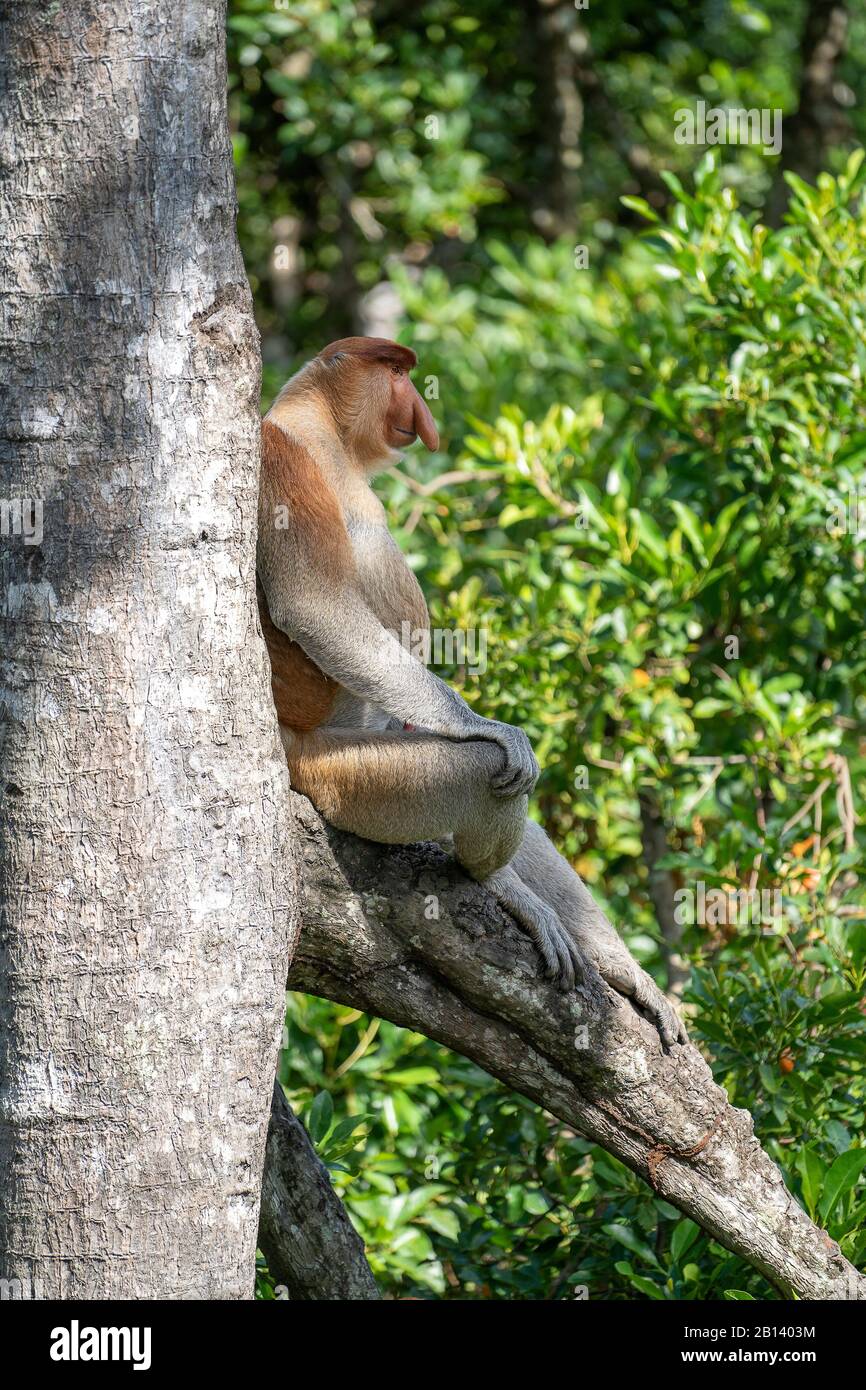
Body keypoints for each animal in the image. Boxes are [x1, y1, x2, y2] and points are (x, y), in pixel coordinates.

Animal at [257, 336, 686, 1047]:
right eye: (397, 371)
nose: (423, 412)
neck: (329, 437)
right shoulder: (278, 458)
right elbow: (314, 604)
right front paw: (485, 726)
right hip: (335, 766)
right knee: (490, 775)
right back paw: (502, 885)